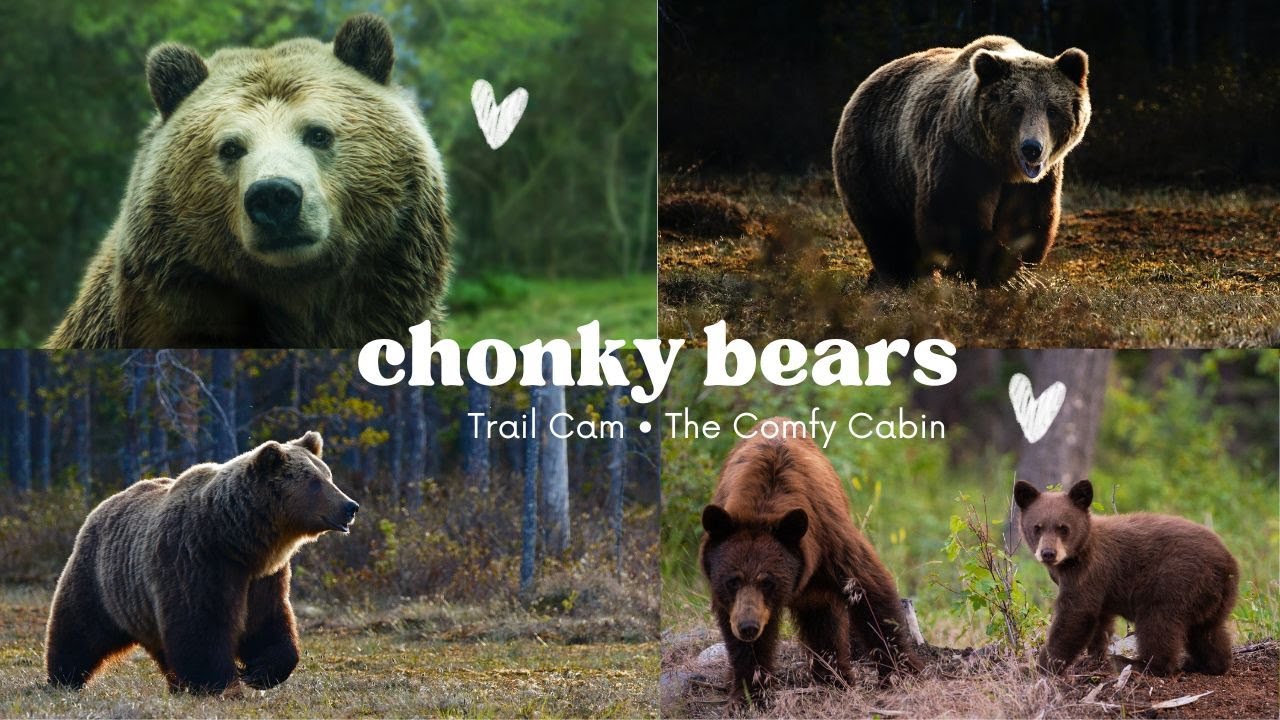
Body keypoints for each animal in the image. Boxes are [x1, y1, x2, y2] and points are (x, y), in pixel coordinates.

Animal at [44, 431, 359, 694]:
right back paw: (63, 678)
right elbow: (201, 627)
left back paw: (176, 685)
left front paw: (259, 672)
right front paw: (220, 684)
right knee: (78, 629)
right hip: (101, 580)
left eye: (328, 475)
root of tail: (103, 504)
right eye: (315, 482)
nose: (350, 506)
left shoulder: (263, 577)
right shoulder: (197, 561)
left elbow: (268, 622)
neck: (237, 540)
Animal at [700, 419, 919, 704]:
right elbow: (742, 644)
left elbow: (869, 591)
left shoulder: (830, 539)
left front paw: (900, 672)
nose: (748, 627)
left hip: (818, 585)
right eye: (732, 581)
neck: (763, 506)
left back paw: (834, 677)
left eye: (768, 582)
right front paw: (750, 692)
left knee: (824, 623)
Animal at [833, 36, 1090, 287]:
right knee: (886, 230)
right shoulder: (960, 155)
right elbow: (953, 215)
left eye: (1052, 110)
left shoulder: (1038, 180)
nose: (1032, 149)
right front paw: (1002, 274)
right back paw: (902, 277)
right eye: (1017, 109)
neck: (1001, 164)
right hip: (876, 164)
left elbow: (1027, 220)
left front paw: (1016, 272)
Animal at [1014, 479, 1238, 676]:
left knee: (1158, 624)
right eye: (1037, 527)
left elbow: (1075, 615)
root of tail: (1228, 564)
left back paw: (1138, 664)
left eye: (1063, 528)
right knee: (1208, 631)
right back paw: (1207, 664)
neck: (1077, 553)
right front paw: (1094, 657)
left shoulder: (1089, 572)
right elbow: (1100, 621)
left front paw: (1041, 667)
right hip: (1212, 597)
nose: (1048, 553)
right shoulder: (1099, 587)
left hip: (1176, 581)